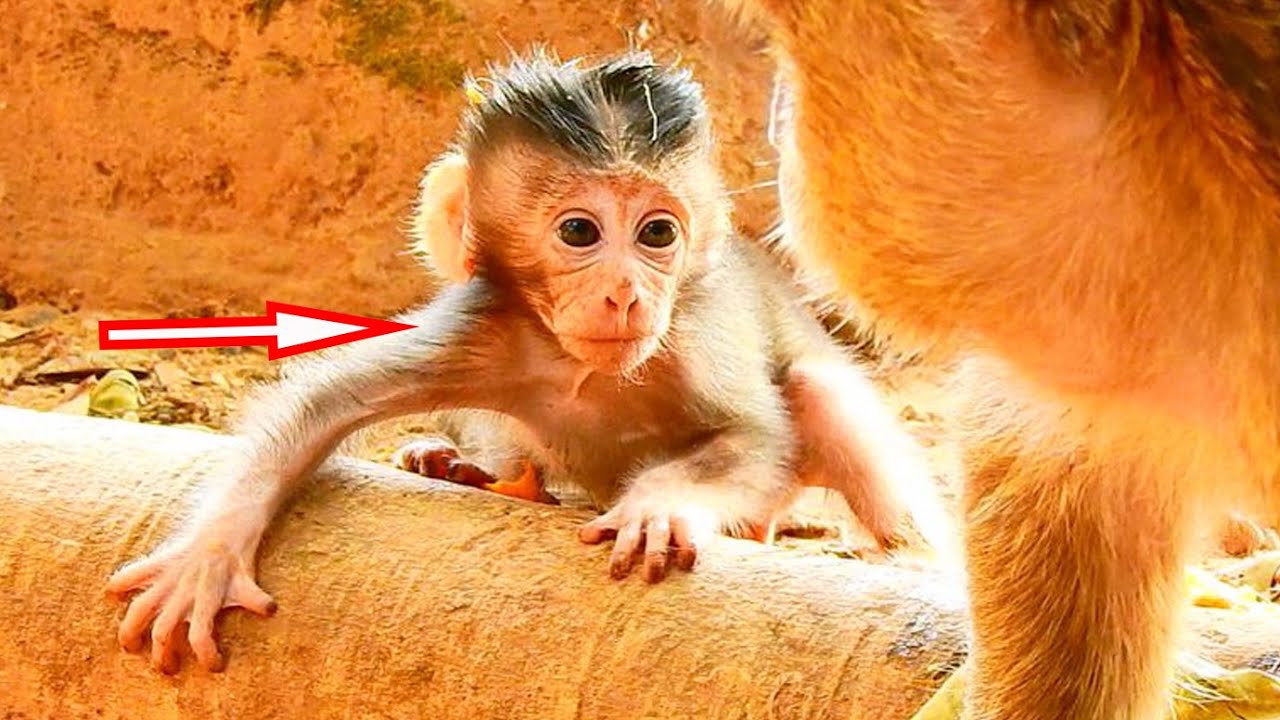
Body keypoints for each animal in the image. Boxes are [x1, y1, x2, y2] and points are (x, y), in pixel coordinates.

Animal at [105, 50, 959, 675]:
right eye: (580, 231)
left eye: (656, 233)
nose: (624, 294)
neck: (585, 368)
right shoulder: (485, 326)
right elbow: (324, 404)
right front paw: (209, 556)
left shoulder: (696, 331)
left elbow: (753, 438)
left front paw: (658, 506)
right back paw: (461, 467)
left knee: (815, 391)